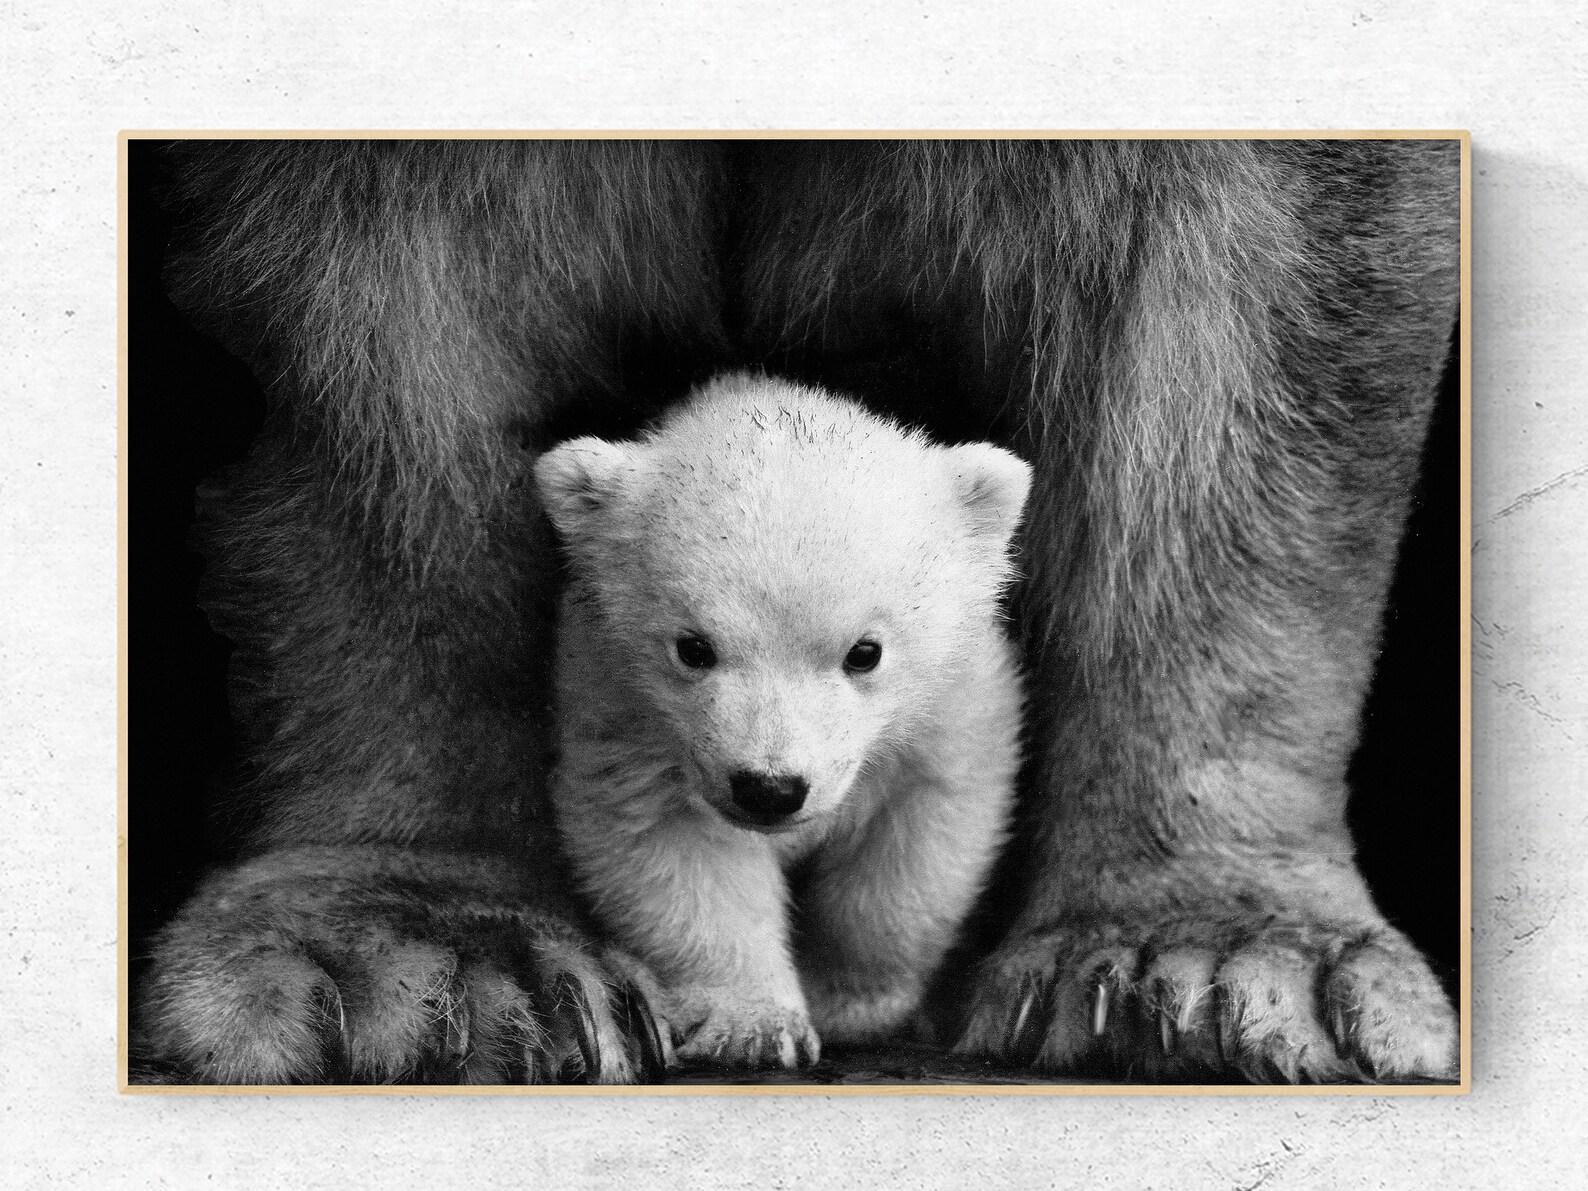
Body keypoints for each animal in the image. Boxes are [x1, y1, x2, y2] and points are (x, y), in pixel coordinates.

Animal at [532, 373, 1030, 1068]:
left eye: (865, 652)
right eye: (693, 647)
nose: (769, 789)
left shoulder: (951, 705)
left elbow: (917, 843)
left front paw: (849, 1001)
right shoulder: (621, 709)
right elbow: (674, 847)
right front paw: (755, 1025)